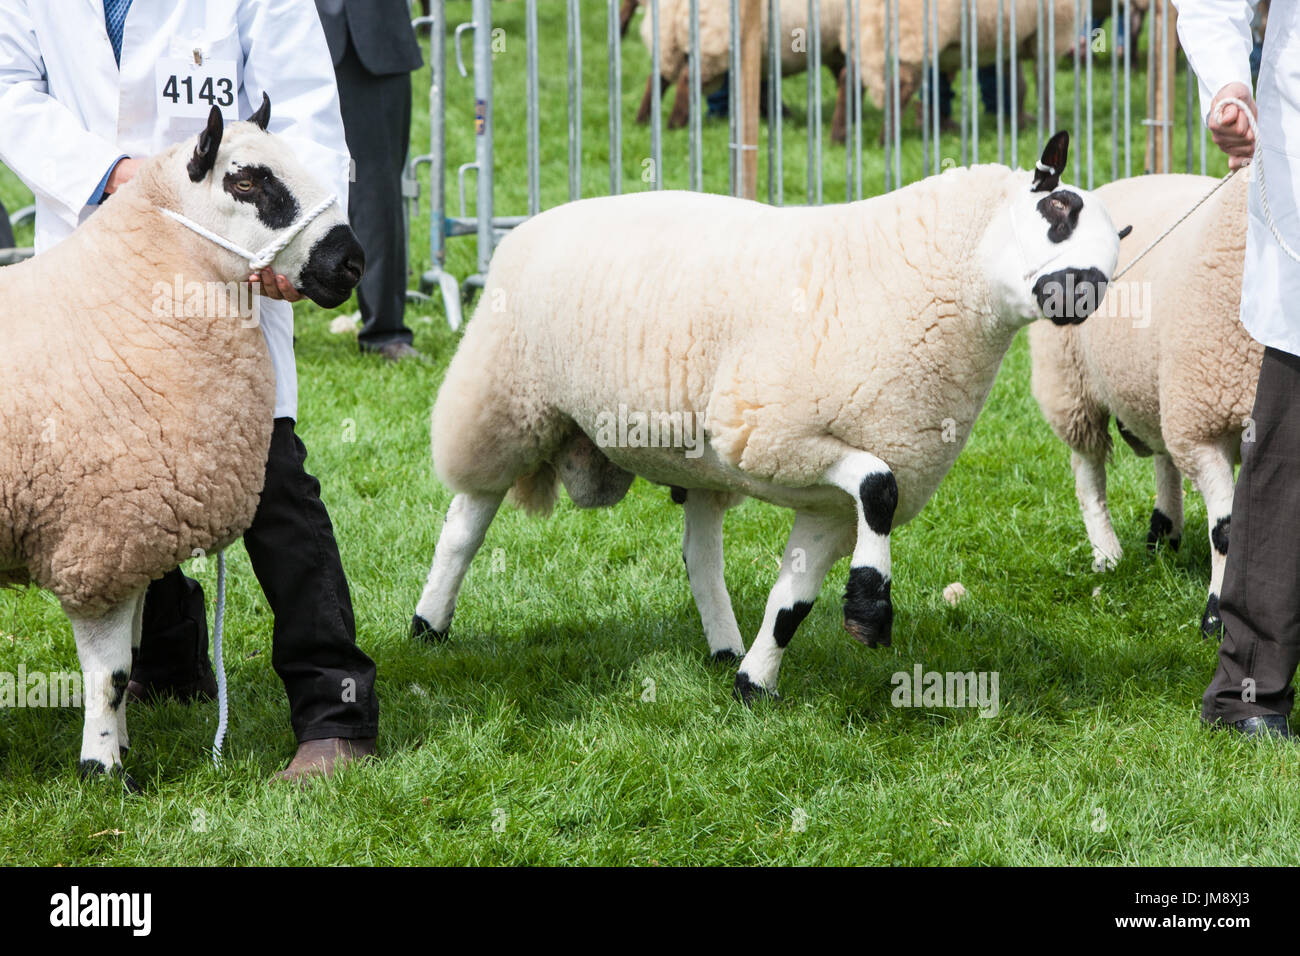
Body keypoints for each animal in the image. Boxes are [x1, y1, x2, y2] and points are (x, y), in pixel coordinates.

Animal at [410, 132, 1122, 701]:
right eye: (1057, 211)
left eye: (1116, 259)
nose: (1082, 292)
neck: (919, 278)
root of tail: (531, 223)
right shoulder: (772, 435)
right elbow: (880, 486)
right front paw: (871, 609)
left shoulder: (826, 504)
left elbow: (792, 601)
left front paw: (754, 685)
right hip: (507, 402)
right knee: (464, 523)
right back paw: (428, 625)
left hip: (693, 462)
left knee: (699, 554)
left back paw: (723, 646)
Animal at [633, 0, 848, 130]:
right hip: (711, 45)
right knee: (686, 80)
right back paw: (676, 124)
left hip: (669, 44)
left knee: (657, 79)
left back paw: (644, 120)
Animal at [1027, 170, 1257, 639]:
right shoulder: (1202, 426)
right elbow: (1226, 532)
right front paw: (1216, 619)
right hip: (1071, 387)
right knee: (1088, 473)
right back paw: (1107, 555)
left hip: (1156, 385)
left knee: (1164, 458)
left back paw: (1163, 532)